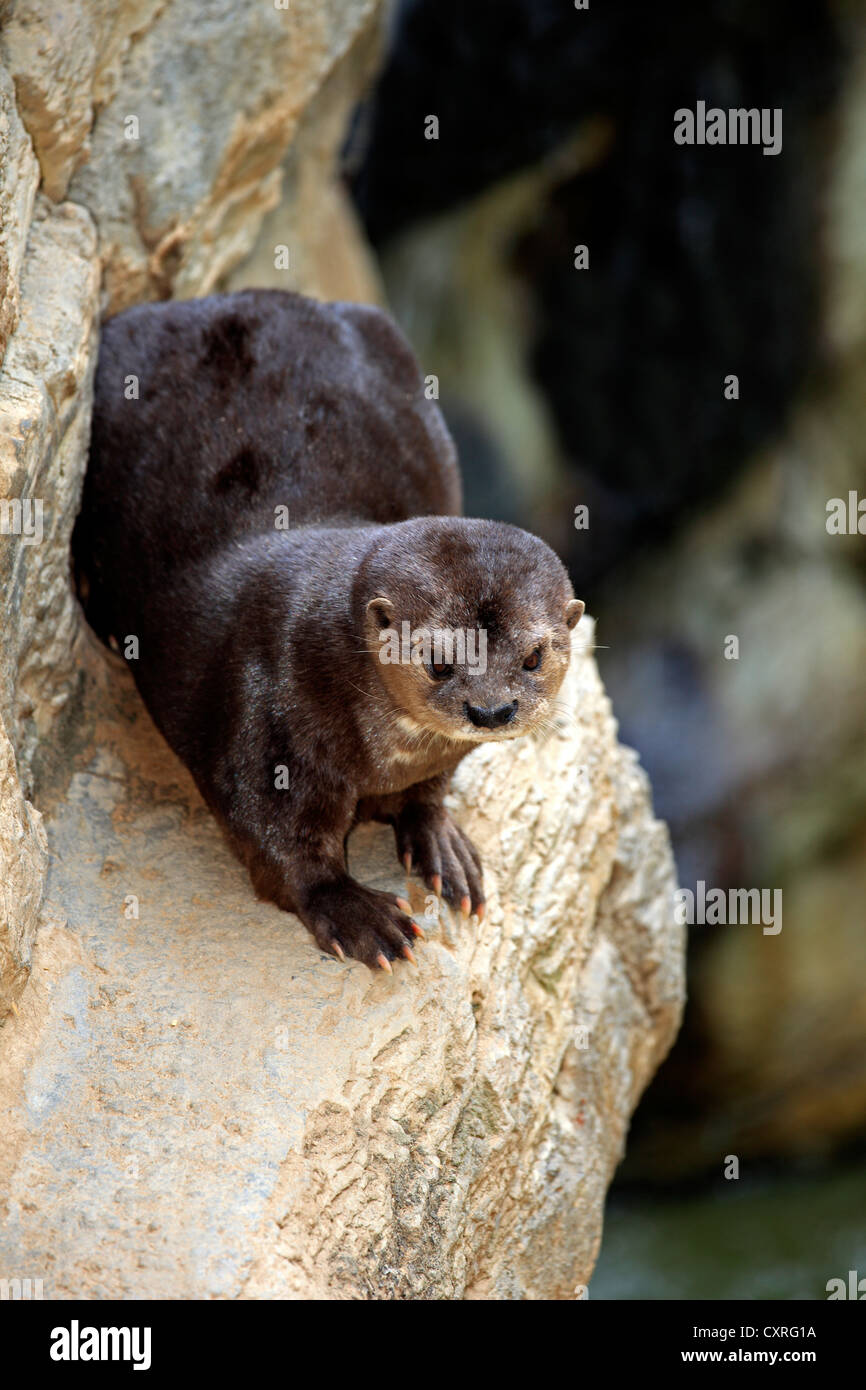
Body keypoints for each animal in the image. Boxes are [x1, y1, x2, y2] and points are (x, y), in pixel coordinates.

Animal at [73, 290, 584, 970]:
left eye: (532, 657)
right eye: (438, 659)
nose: (492, 710)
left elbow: (429, 793)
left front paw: (442, 841)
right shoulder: (262, 713)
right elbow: (279, 842)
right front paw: (359, 914)